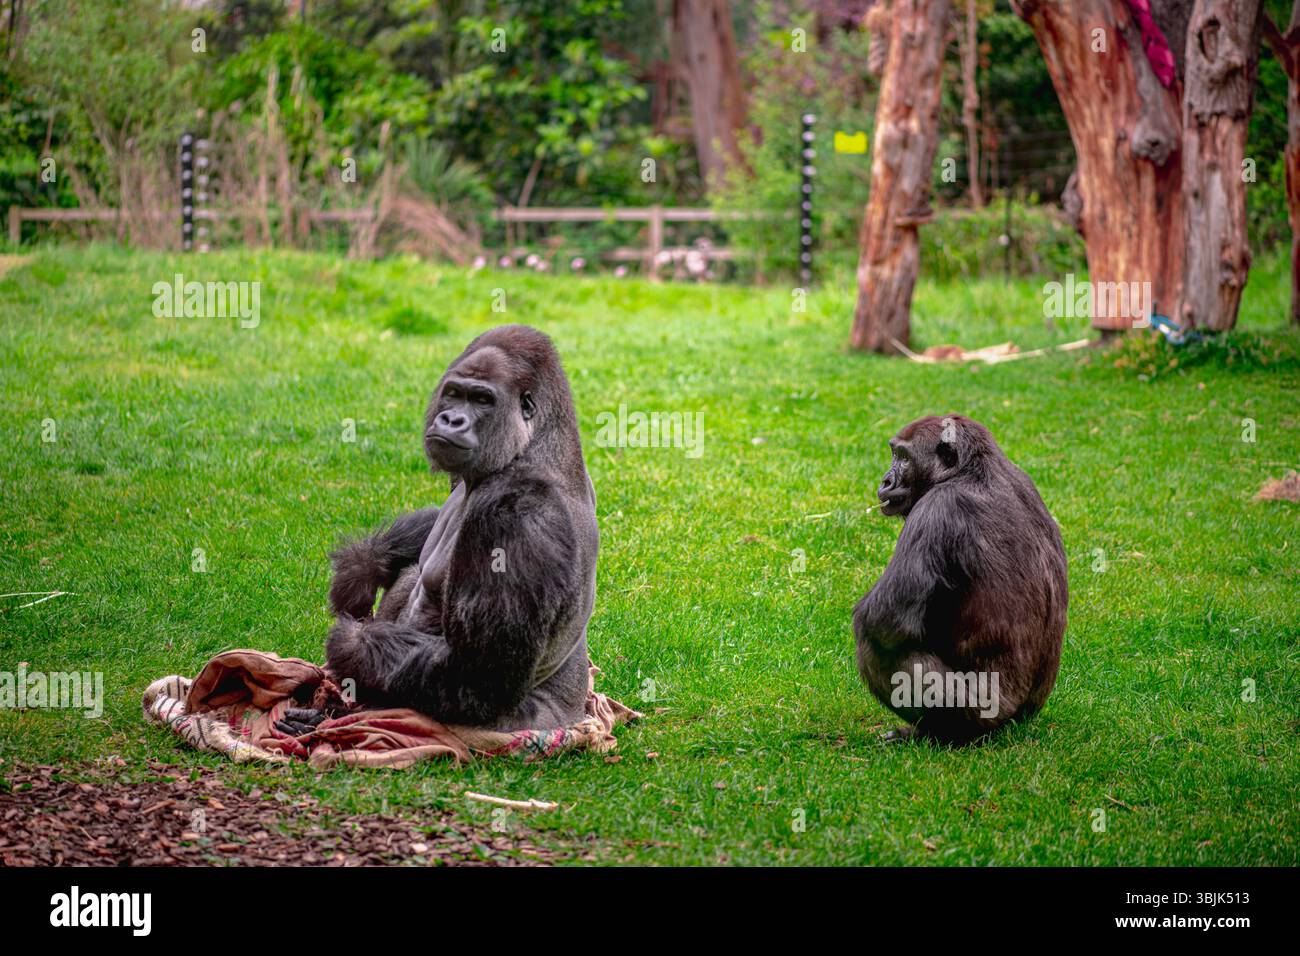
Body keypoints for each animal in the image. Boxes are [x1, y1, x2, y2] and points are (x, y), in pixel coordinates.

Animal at [280, 325, 598, 735]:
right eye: (454, 393)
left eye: (482, 399)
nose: (451, 420)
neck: (535, 441)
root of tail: (575, 716)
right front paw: (362, 567)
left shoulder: (520, 514)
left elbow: (478, 676)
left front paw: (351, 642)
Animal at [852, 415, 1067, 744]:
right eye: (894, 453)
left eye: (904, 457)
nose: (886, 480)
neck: (971, 469)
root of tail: (1016, 724)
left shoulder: (938, 509)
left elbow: (883, 620)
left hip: (981, 716)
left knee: (876, 643)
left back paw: (936, 733)